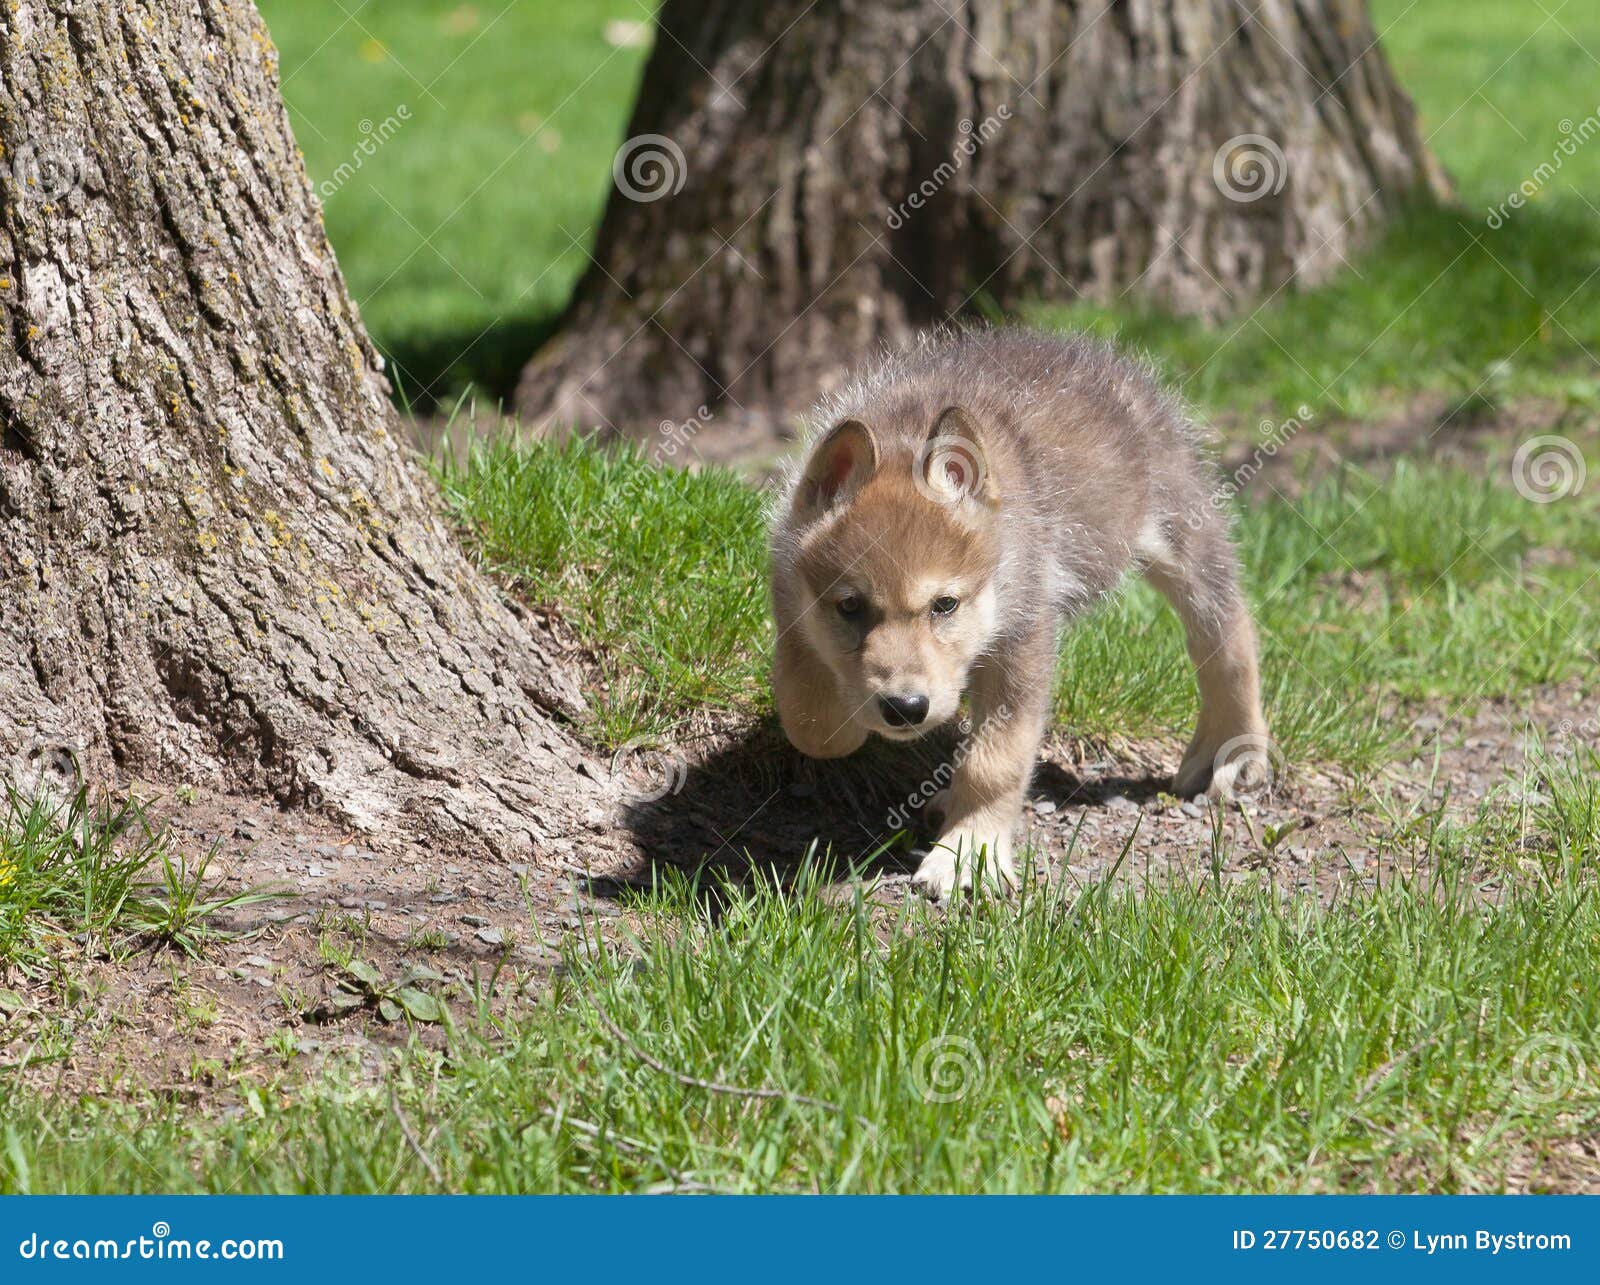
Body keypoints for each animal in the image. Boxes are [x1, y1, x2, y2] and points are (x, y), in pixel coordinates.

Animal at [768, 329, 1270, 900]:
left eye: (945, 604)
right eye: (850, 606)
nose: (906, 708)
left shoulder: (1024, 640)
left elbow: (996, 761)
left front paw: (968, 854)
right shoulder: (789, 589)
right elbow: (811, 720)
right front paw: (846, 723)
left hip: (1183, 537)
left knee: (1228, 635)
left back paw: (1232, 749)